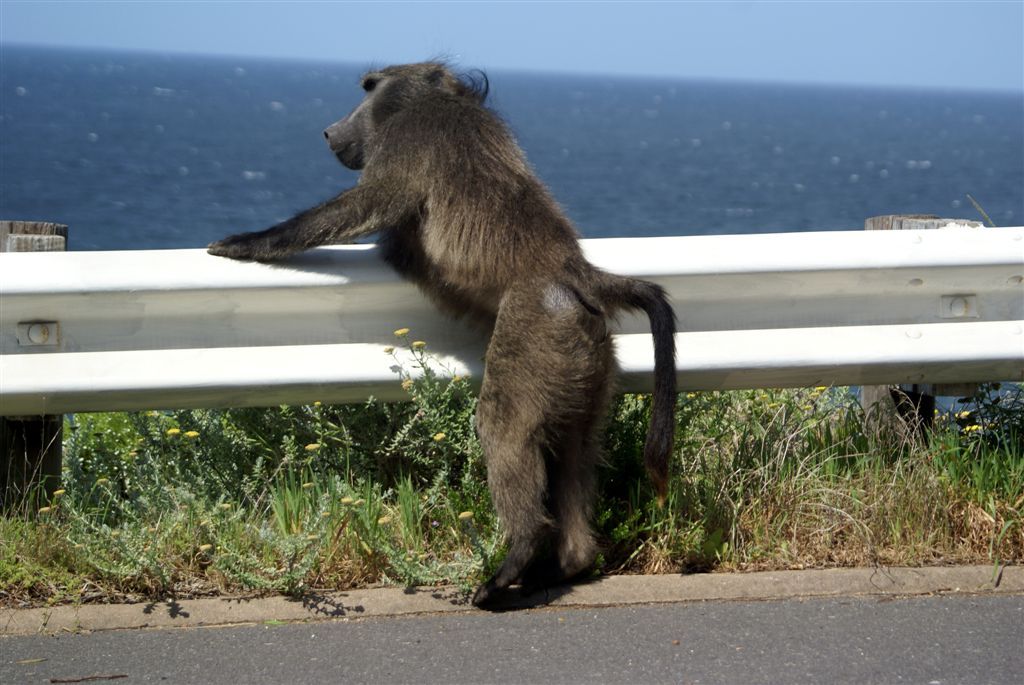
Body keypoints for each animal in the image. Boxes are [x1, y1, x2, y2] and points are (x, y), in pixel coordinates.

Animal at [208, 62, 677, 608]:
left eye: (368, 87)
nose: (329, 131)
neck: (436, 96)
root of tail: (574, 274)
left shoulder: (407, 139)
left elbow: (366, 205)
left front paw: (246, 242)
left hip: (536, 335)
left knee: (504, 426)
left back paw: (514, 559)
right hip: (590, 365)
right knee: (575, 448)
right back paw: (565, 565)